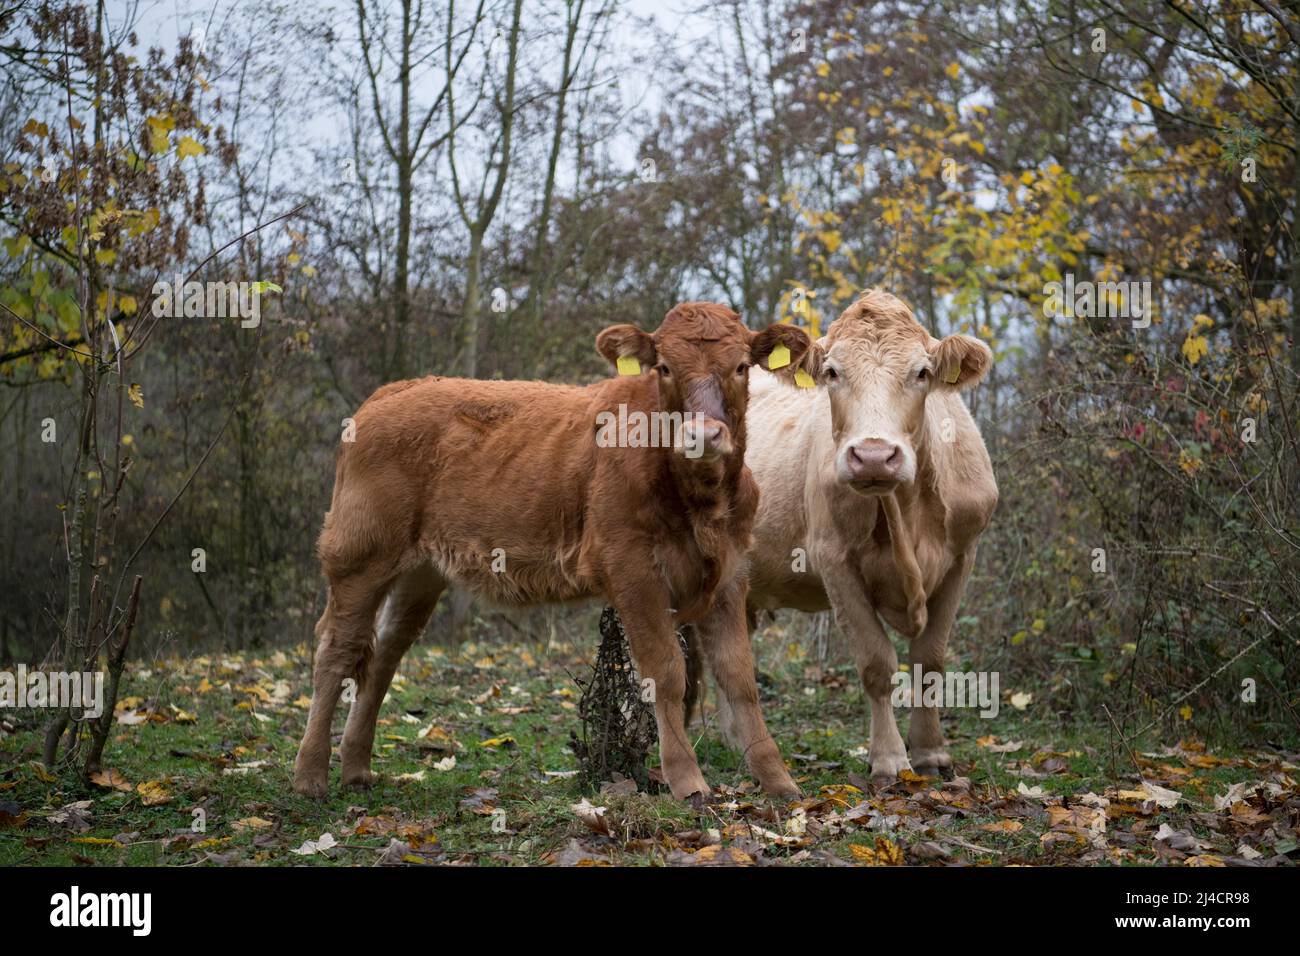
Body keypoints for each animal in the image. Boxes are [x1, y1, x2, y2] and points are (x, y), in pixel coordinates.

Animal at [292, 302, 812, 802]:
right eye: (664, 367)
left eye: (741, 366)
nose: (703, 435)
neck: (702, 504)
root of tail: (397, 389)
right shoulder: (632, 569)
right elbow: (666, 672)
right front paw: (688, 782)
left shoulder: (730, 574)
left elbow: (740, 679)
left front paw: (778, 781)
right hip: (359, 553)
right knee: (336, 648)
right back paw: (311, 776)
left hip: (419, 571)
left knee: (385, 652)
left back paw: (356, 769)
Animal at [737, 289, 997, 782]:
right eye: (833, 372)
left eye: (922, 372)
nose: (874, 456)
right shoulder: (835, 562)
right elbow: (877, 663)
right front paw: (889, 758)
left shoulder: (964, 556)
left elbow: (930, 659)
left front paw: (932, 752)